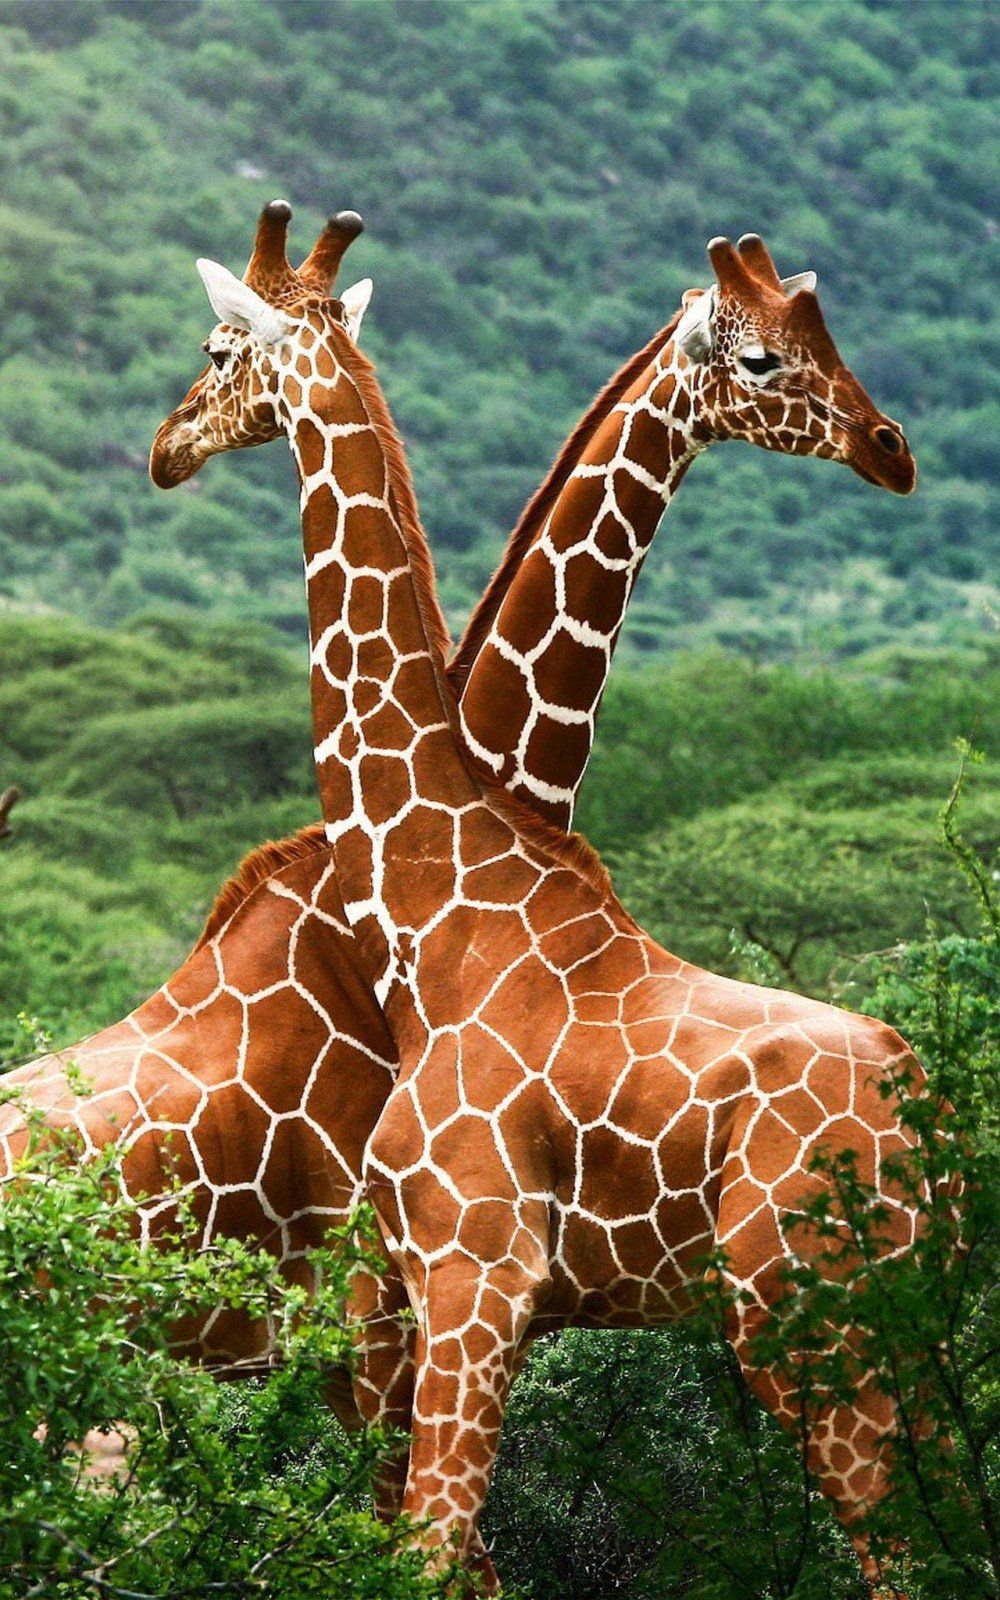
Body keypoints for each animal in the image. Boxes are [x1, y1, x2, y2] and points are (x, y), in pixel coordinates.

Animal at [150, 204, 933, 1596]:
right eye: (767, 357)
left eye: (215, 348)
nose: (165, 445)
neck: (439, 897)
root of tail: (930, 1126)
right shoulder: (421, 1297)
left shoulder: (469, 1275)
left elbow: (428, 1553)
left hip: (812, 1321)